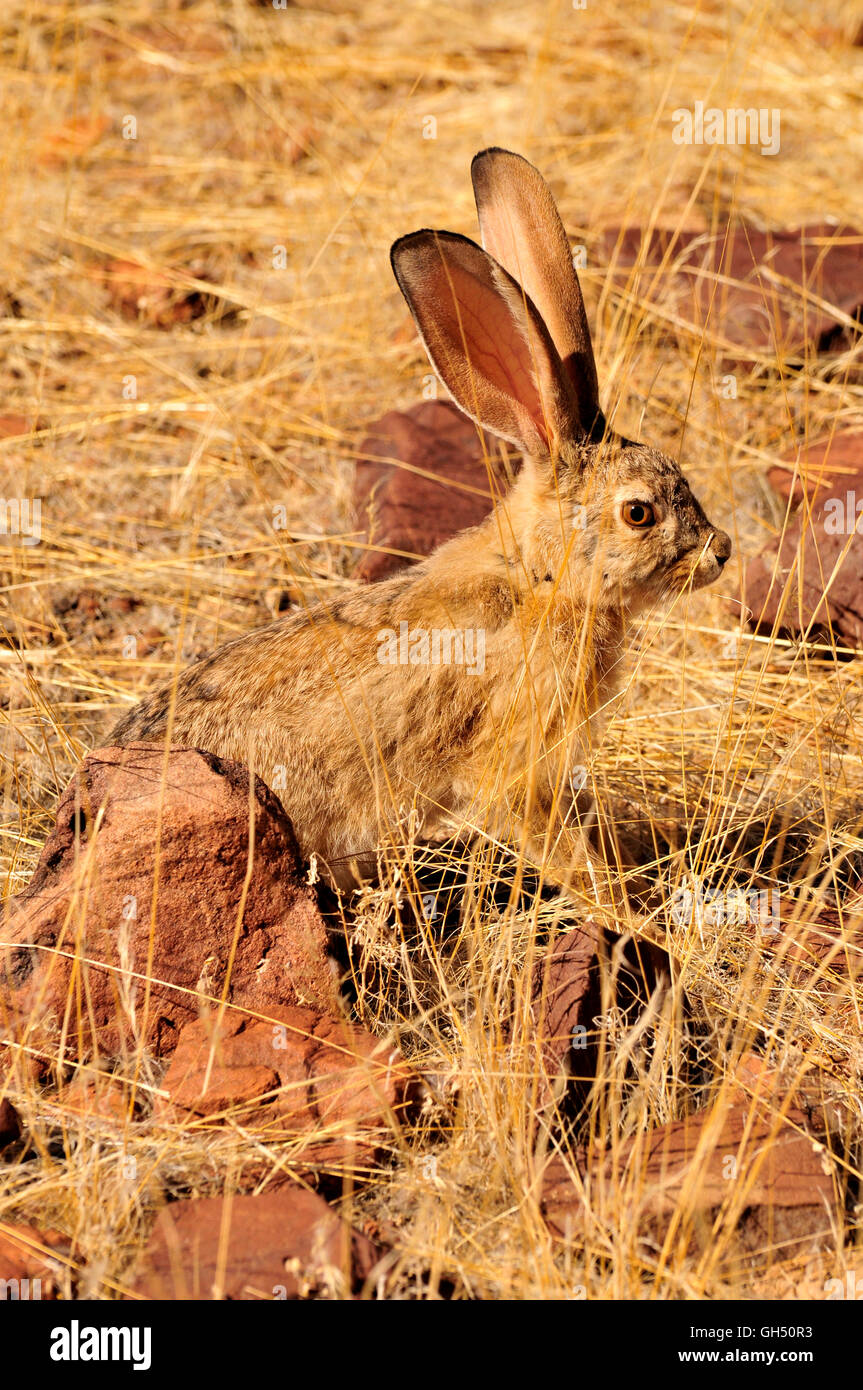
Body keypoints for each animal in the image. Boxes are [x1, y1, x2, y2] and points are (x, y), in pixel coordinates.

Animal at [108, 148, 731, 900]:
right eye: (639, 513)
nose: (722, 551)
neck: (539, 579)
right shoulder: (514, 759)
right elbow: (550, 839)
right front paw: (619, 904)